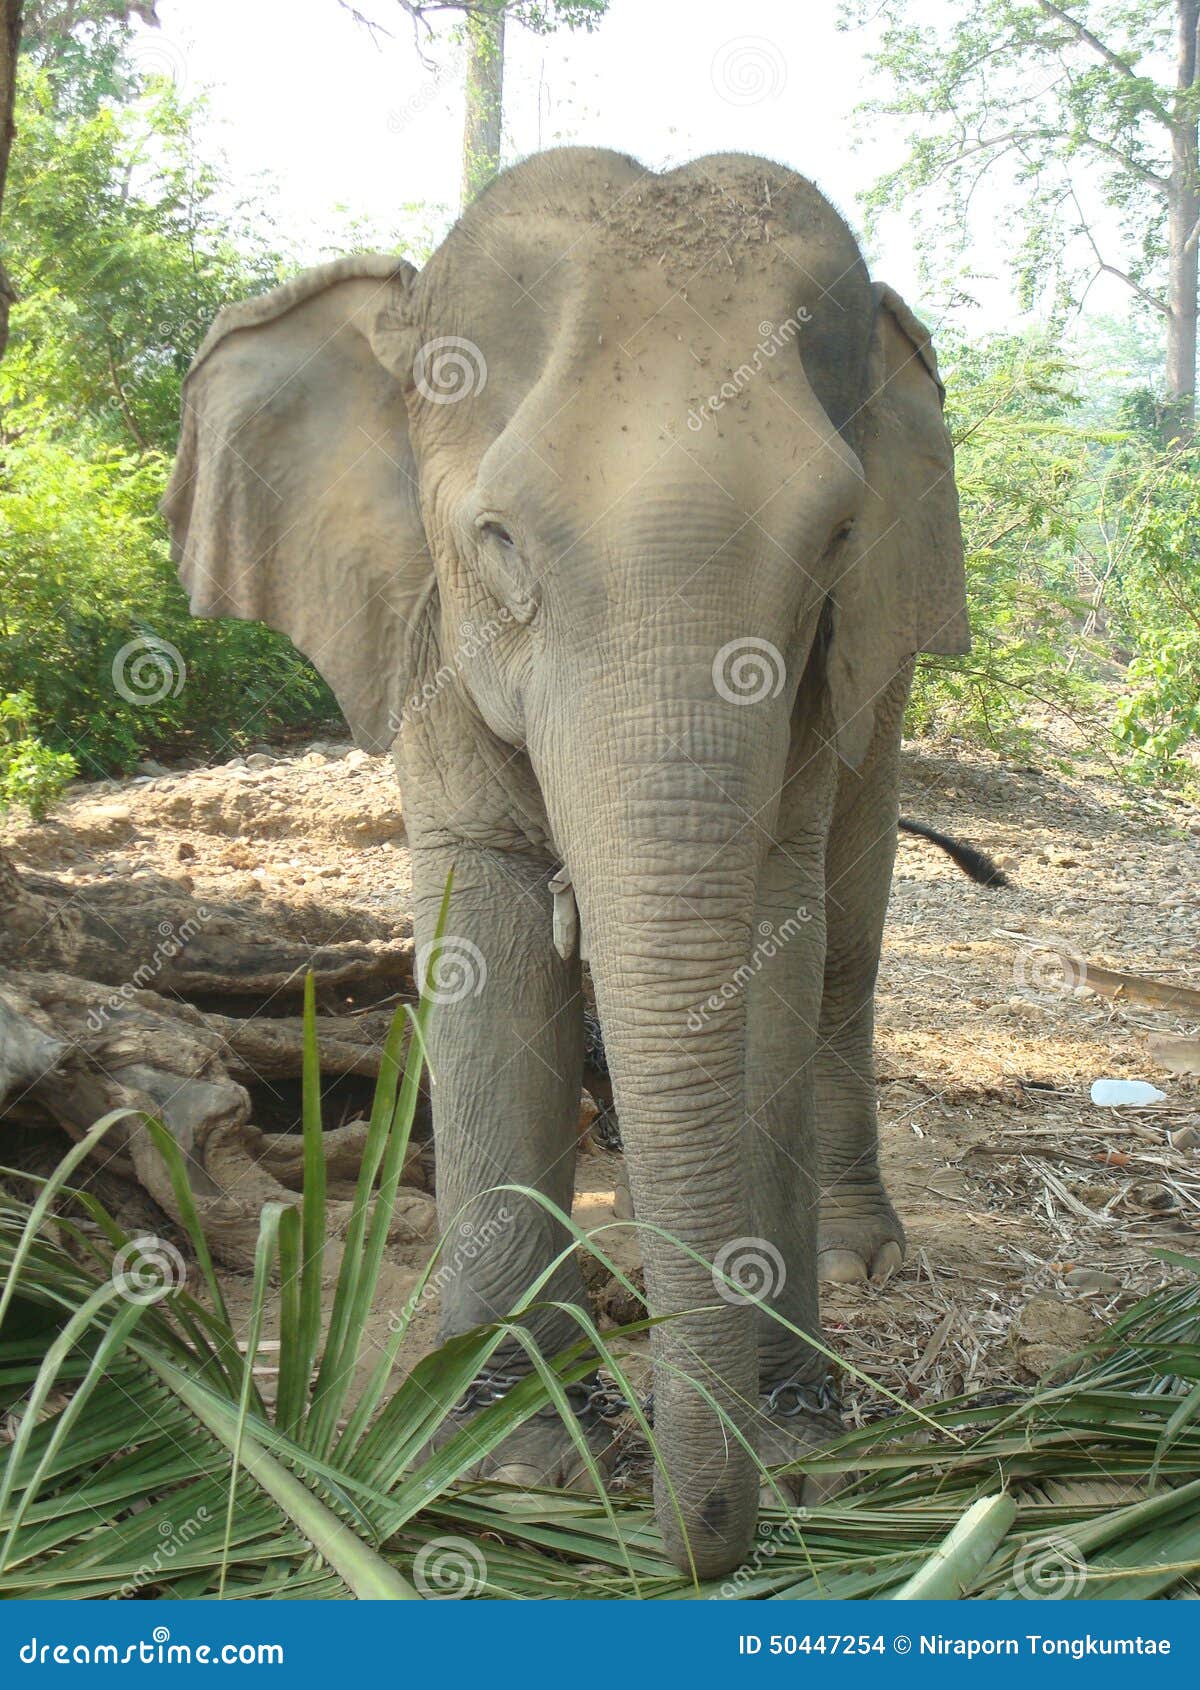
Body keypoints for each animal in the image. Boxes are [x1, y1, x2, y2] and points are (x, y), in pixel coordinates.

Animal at [163, 147, 969, 1580]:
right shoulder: (426, 625)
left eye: (832, 541)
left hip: (891, 679)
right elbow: (483, 925)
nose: (695, 1547)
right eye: (499, 540)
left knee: (848, 952)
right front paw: (510, 1452)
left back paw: (855, 1264)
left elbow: (777, 927)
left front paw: (791, 1436)